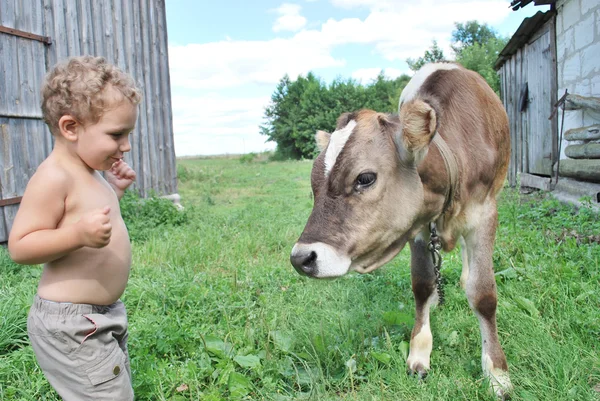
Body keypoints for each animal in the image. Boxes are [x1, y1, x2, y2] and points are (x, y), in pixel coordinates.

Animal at [290, 63, 510, 396]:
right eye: (314, 184)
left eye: (365, 178)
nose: (301, 258)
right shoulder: (418, 227)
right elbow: (422, 285)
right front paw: (419, 352)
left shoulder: (485, 212)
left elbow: (484, 294)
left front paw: (497, 373)